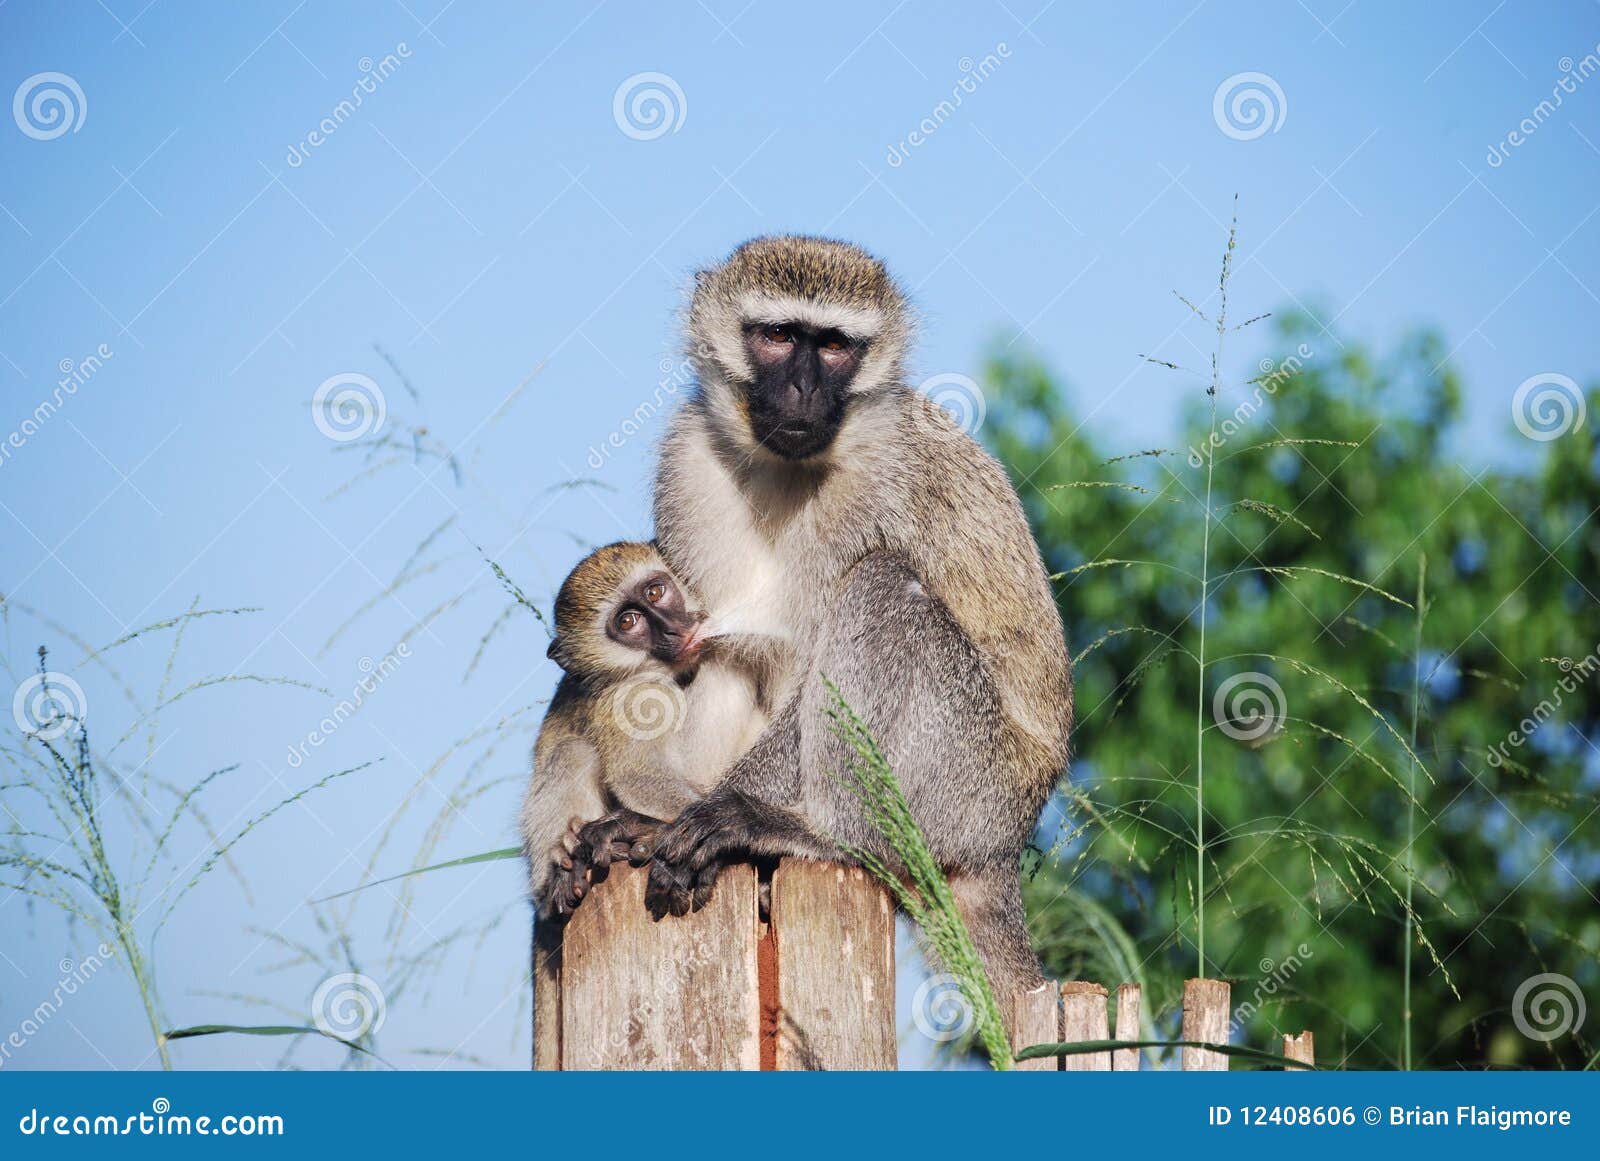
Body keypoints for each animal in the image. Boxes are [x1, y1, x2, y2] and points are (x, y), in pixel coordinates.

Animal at [519, 540, 776, 923]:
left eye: (655, 592)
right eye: (628, 621)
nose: (672, 628)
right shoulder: (629, 696)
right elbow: (637, 776)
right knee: (572, 751)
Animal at [644, 235, 1074, 1012]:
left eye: (836, 346)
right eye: (778, 336)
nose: (803, 390)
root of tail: (1004, 848)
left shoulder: (882, 481)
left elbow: (811, 665)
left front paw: (715, 812)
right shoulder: (686, 457)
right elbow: (699, 653)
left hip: (963, 784)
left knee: (880, 589)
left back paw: (821, 832)